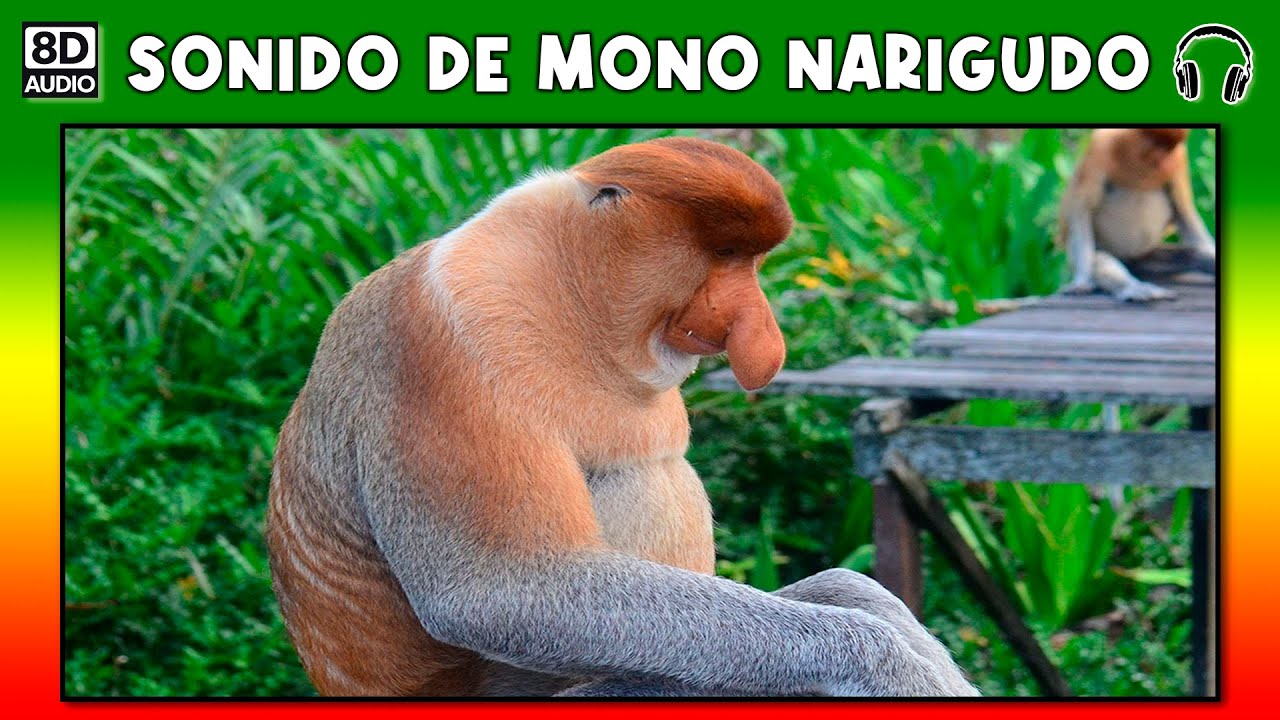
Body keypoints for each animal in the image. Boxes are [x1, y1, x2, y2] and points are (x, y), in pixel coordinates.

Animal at [266, 137, 978, 697]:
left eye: (750, 263)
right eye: (725, 258)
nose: (764, 339)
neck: (567, 293)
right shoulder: (443, 345)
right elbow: (497, 591)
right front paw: (894, 669)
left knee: (837, 584)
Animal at [1056, 128, 1216, 302]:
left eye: (1170, 149)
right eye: (1159, 146)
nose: (1165, 163)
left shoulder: (1179, 160)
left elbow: (1183, 211)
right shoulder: (1099, 150)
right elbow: (1082, 211)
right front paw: (1081, 282)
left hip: (1147, 255)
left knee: (1194, 254)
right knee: (1100, 260)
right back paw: (1136, 290)